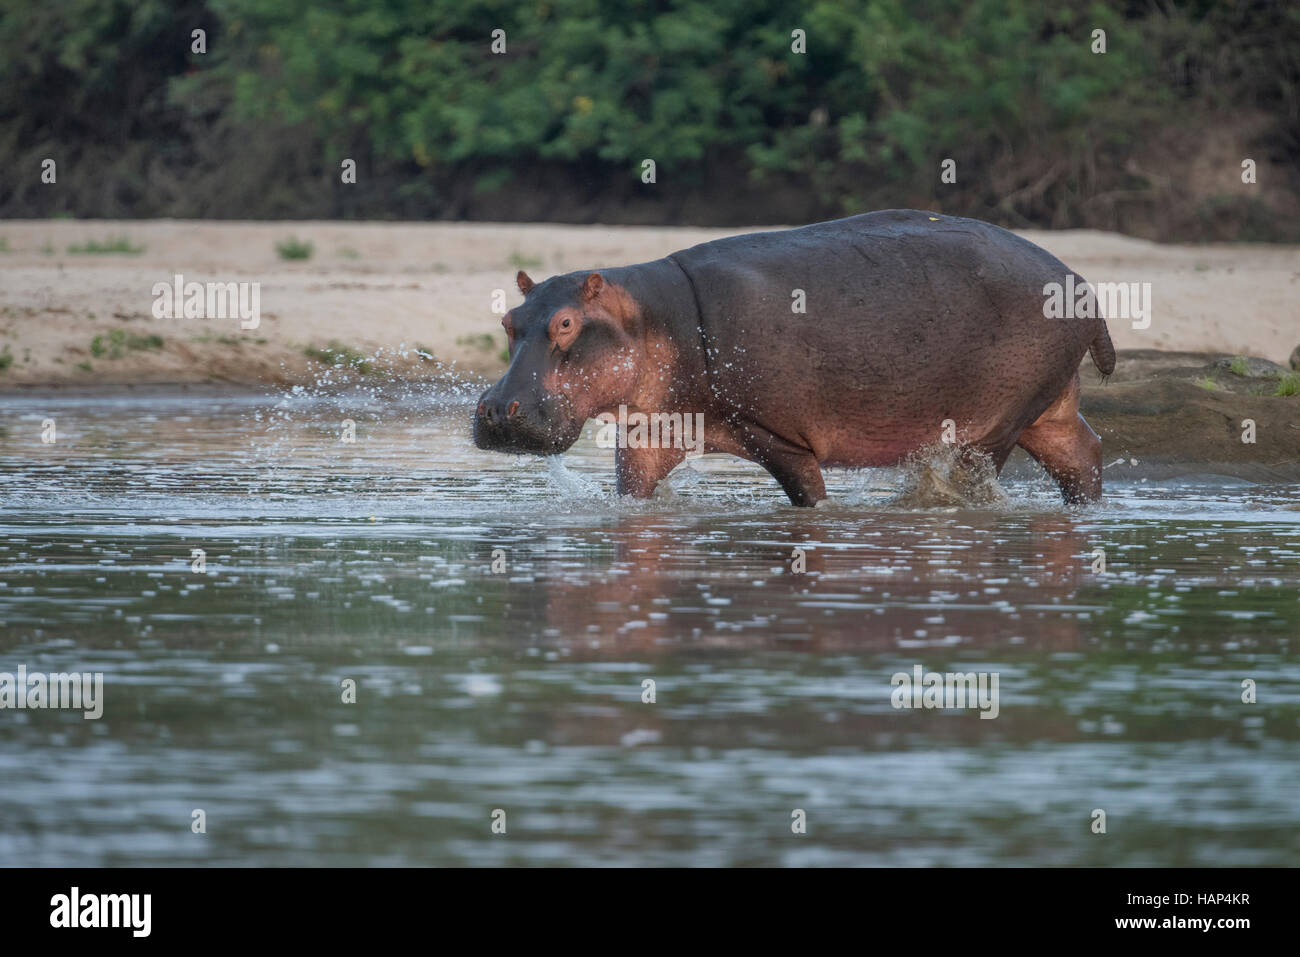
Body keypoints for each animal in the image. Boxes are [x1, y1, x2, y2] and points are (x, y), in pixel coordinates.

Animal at [473, 210, 1115, 505]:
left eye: (565, 323)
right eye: (507, 321)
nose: (500, 409)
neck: (650, 316)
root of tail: (1080, 284)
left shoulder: (777, 435)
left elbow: (809, 495)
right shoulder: (652, 434)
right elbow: (633, 492)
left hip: (998, 422)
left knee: (979, 475)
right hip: (1047, 407)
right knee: (1082, 455)